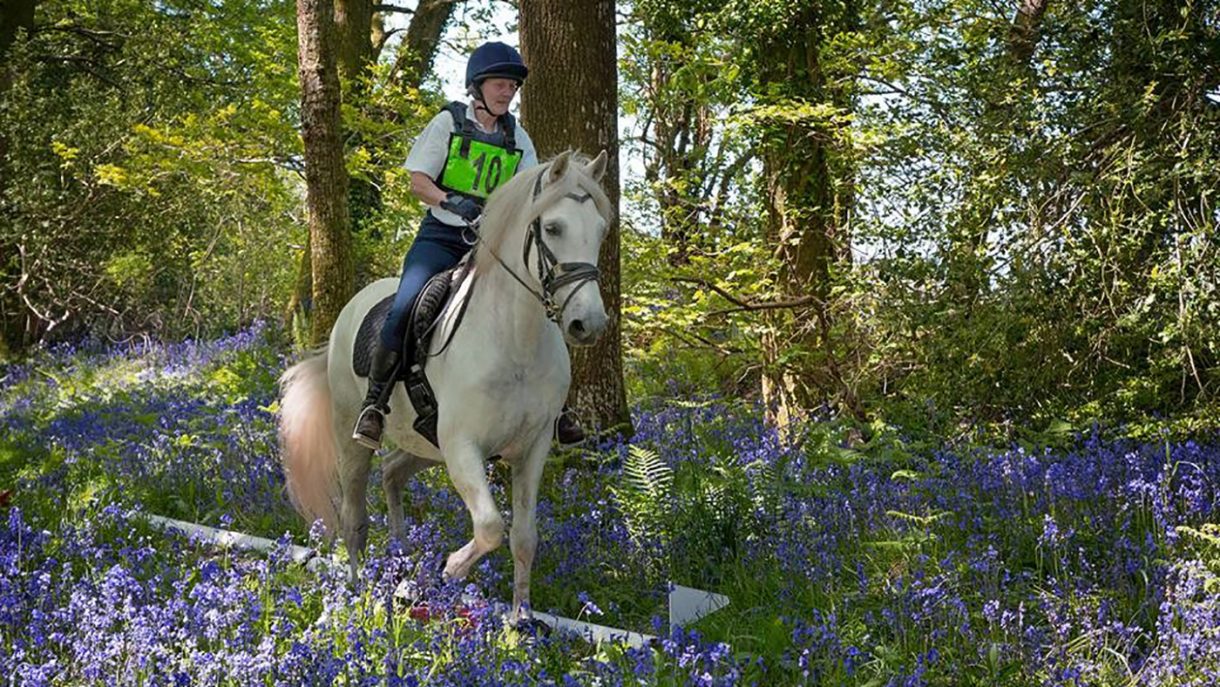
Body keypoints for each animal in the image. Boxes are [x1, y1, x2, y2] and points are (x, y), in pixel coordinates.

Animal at [278, 150, 612, 622]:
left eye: (600, 229)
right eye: (552, 228)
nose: (589, 324)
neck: (516, 340)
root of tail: (351, 310)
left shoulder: (532, 448)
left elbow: (524, 536)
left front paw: (519, 621)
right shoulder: (463, 446)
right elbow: (491, 526)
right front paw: (450, 569)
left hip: (425, 443)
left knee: (393, 472)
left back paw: (401, 564)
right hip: (354, 436)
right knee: (354, 515)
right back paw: (359, 593)